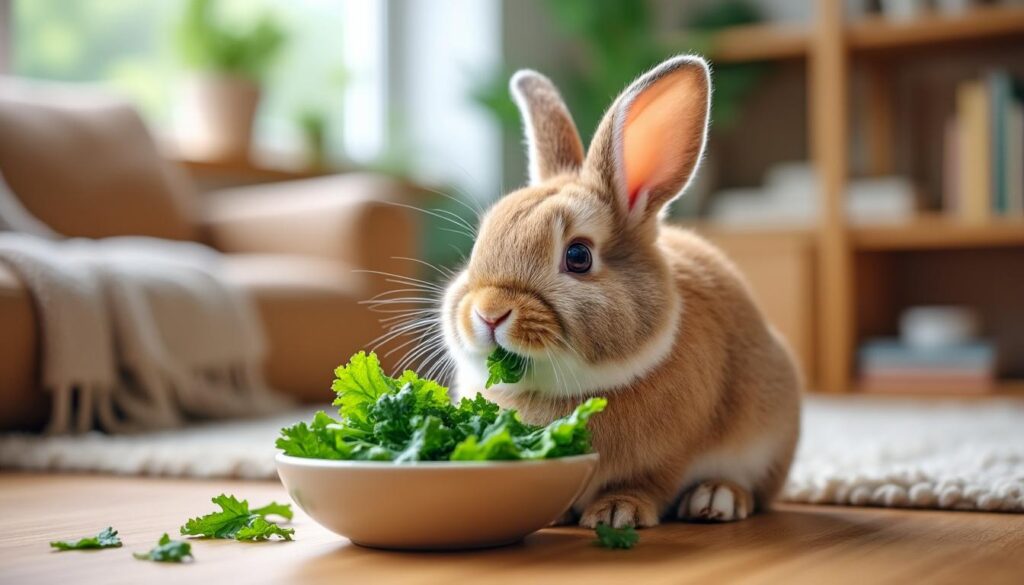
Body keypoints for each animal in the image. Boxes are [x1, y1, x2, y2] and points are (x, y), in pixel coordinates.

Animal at [440, 55, 801, 529]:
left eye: (578, 256)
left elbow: (644, 483)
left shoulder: (666, 456)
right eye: (477, 246)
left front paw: (616, 514)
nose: (489, 313)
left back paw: (716, 498)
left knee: (757, 491)